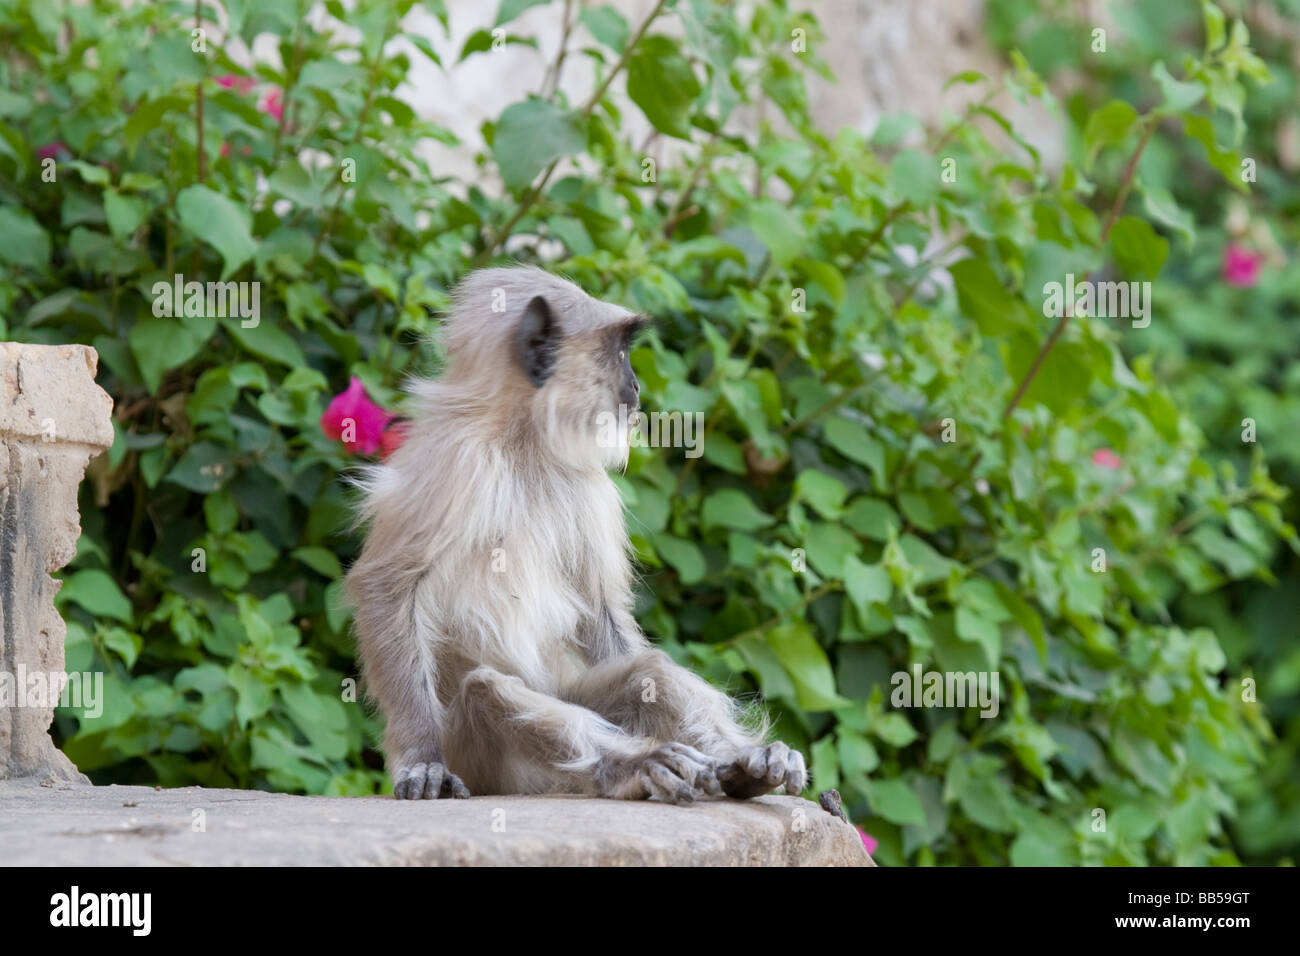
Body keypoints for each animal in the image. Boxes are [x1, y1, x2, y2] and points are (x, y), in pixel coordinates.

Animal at [345, 265, 807, 803]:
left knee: (648, 673)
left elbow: (603, 617)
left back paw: (742, 768)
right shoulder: (457, 460)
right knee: (487, 690)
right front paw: (422, 759)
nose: (637, 384)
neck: (523, 442)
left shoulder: (588, 485)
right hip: (482, 760)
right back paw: (633, 768)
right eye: (621, 353)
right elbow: (385, 585)